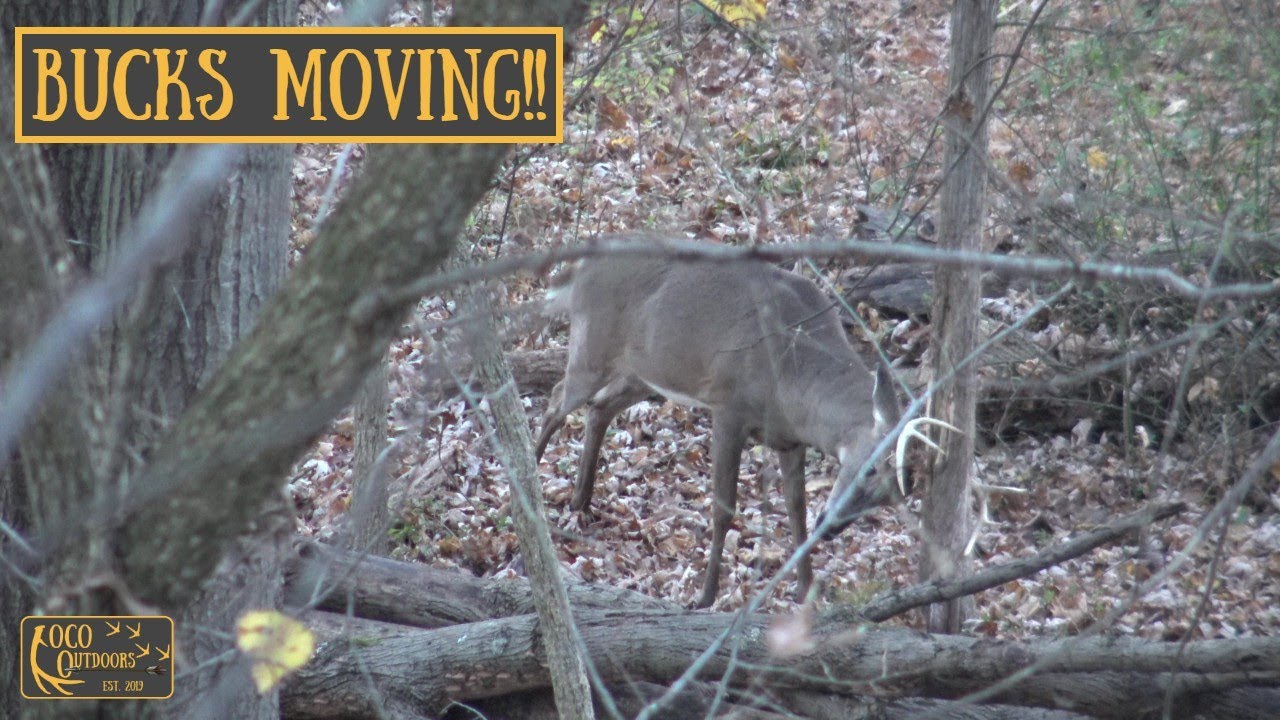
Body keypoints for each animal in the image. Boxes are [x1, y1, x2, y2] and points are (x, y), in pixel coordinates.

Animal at [534, 250, 954, 608]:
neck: (792, 376)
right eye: (870, 469)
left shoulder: (789, 441)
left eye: (891, 498)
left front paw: (805, 589)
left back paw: (580, 500)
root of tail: (580, 269)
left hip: (642, 372)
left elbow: (796, 508)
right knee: (555, 401)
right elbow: (723, 507)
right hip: (592, 346)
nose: (832, 526)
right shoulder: (728, 408)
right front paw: (704, 596)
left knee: (599, 408)